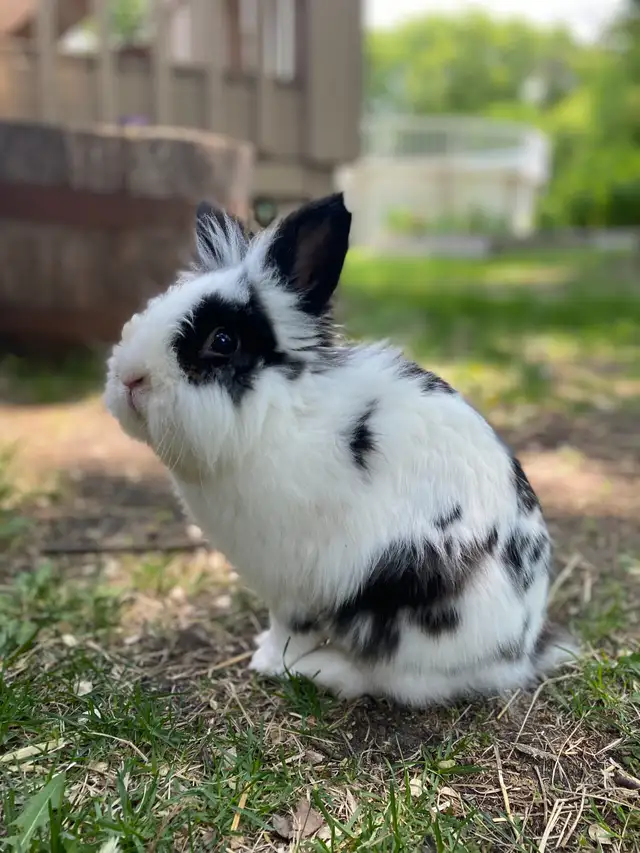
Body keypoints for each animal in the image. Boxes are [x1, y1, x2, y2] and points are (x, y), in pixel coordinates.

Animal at [104, 192, 577, 706]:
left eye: (222, 341)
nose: (131, 378)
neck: (279, 417)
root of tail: (519, 653)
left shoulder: (293, 584)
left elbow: (288, 628)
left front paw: (268, 661)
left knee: (396, 679)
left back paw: (324, 670)